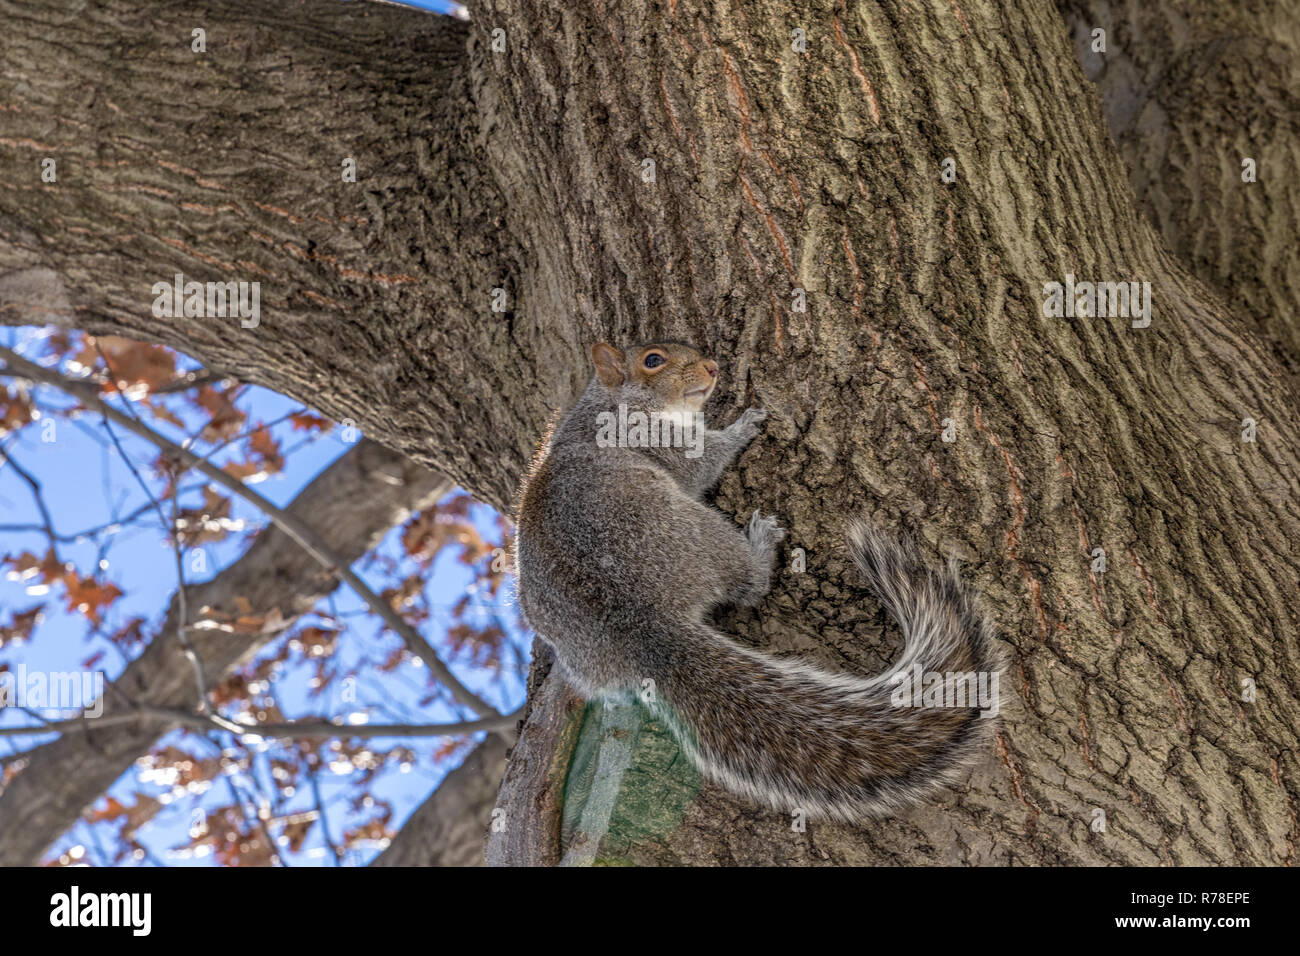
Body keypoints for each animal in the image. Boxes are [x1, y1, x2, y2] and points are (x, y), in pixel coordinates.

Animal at [513, 340, 1003, 821]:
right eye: (653, 360)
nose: (713, 367)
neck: (612, 403)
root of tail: (643, 627)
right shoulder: (653, 440)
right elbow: (702, 462)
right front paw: (743, 425)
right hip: (693, 530)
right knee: (748, 585)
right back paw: (761, 547)